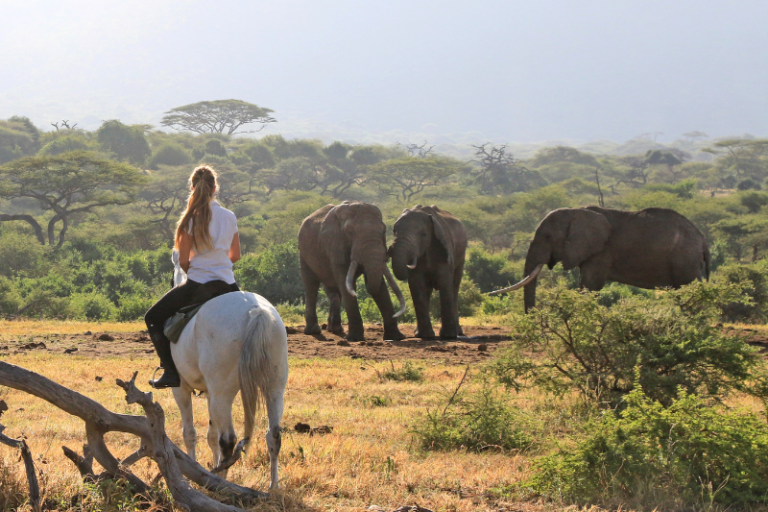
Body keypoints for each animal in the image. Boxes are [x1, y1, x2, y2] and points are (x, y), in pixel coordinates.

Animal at [168, 253, 289, 488]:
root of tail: (257, 312)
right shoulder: (209, 393)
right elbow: (211, 434)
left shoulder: (181, 389)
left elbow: (190, 433)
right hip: (274, 389)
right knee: (273, 435)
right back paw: (273, 486)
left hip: (222, 395)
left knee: (228, 440)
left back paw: (221, 482)